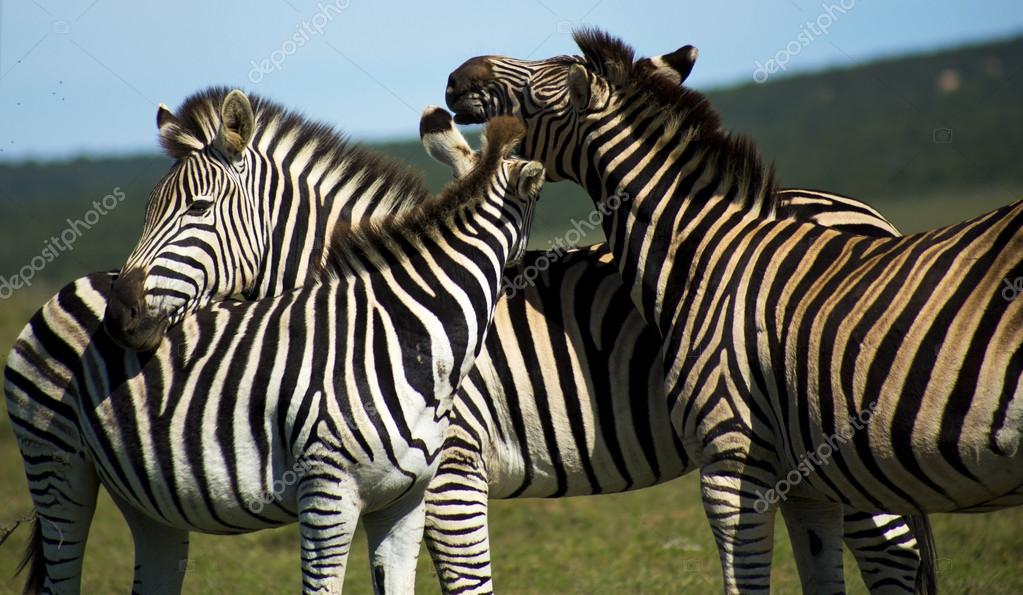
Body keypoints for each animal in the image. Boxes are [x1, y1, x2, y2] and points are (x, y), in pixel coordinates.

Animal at [4, 104, 546, 593]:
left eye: (197, 208)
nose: (120, 316)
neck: (404, 327)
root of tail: (71, 287)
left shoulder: (406, 499)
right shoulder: (329, 490)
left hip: (144, 496)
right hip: (56, 466)